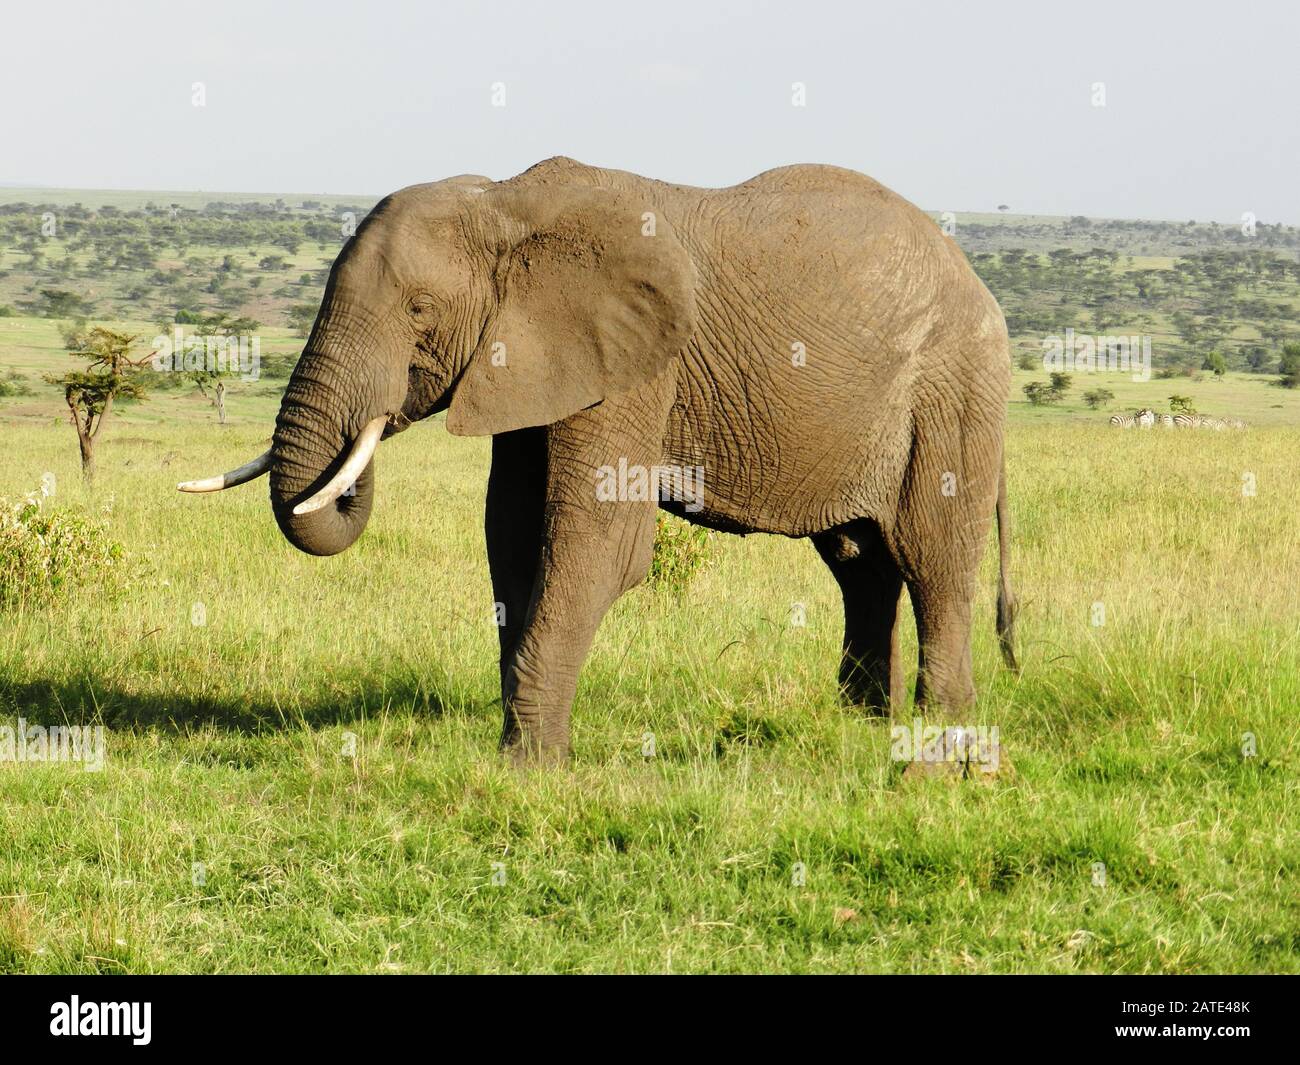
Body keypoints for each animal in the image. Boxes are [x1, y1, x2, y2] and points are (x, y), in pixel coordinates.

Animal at [181, 156, 1017, 765]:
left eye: (420, 311)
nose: (358, 454)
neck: (508, 204)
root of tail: (975, 275)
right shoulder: (532, 356)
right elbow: (513, 534)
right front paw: (523, 747)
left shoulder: (638, 360)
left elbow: (598, 539)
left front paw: (531, 765)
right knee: (859, 562)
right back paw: (860, 721)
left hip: (953, 389)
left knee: (932, 556)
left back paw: (937, 730)